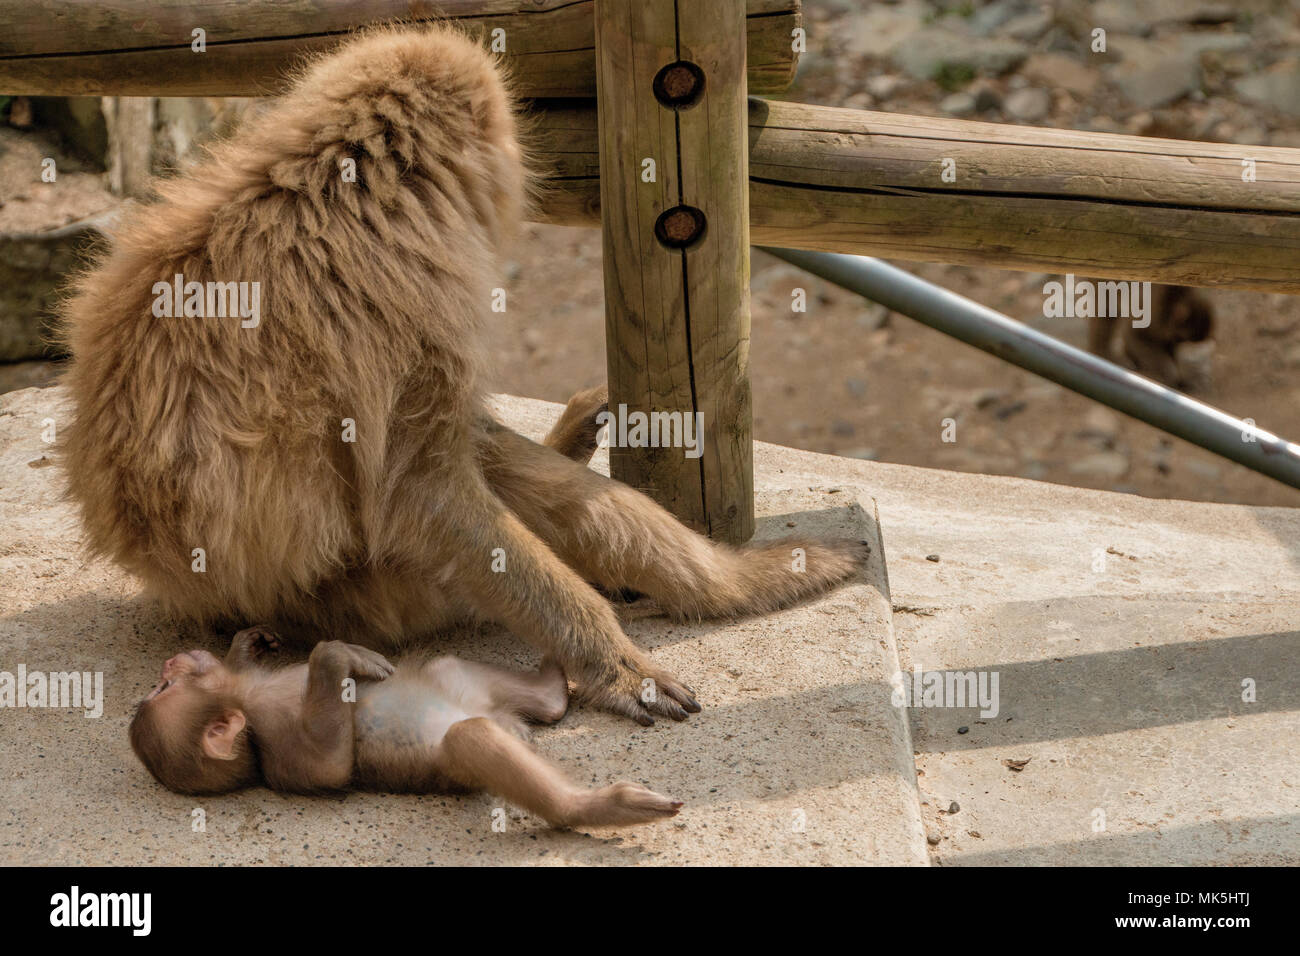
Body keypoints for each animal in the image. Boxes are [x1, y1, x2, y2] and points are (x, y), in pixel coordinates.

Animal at [58, 24, 868, 728]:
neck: (335, 176)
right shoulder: (417, 291)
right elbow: (420, 496)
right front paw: (612, 664)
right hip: (375, 601)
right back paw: (729, 589)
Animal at [129, 625, 682, 827]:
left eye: (159, 686)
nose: (166, 666)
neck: (245, 696)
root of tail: (506, 722)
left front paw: (244, 646)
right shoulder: (272, 737)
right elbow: (330, 767)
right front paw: (339, 655)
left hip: (462, 685)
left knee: (448, 666)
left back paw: (551, 686)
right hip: (461, 754)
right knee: (470, 737)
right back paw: (591, 808)